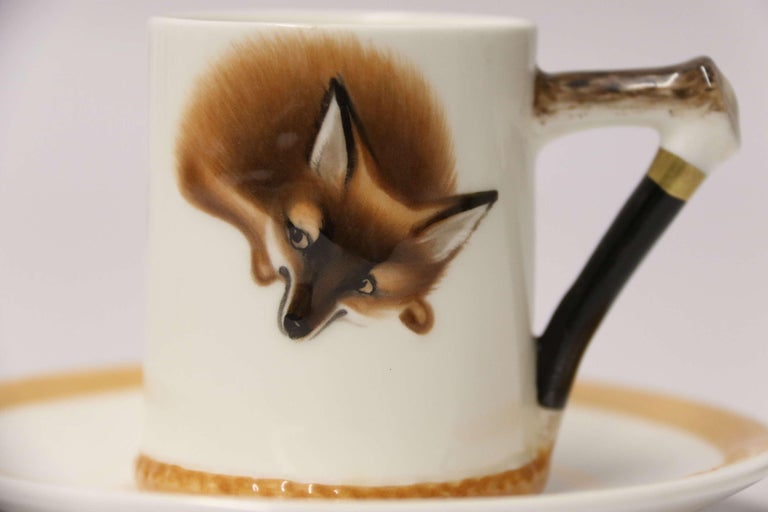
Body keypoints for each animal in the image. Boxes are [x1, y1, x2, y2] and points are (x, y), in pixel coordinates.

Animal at [176, 33, 498, 341]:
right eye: (298, 238)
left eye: (365, 285)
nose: (295, 327)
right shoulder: (196, 167)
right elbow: (244, 213)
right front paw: (262, 263)